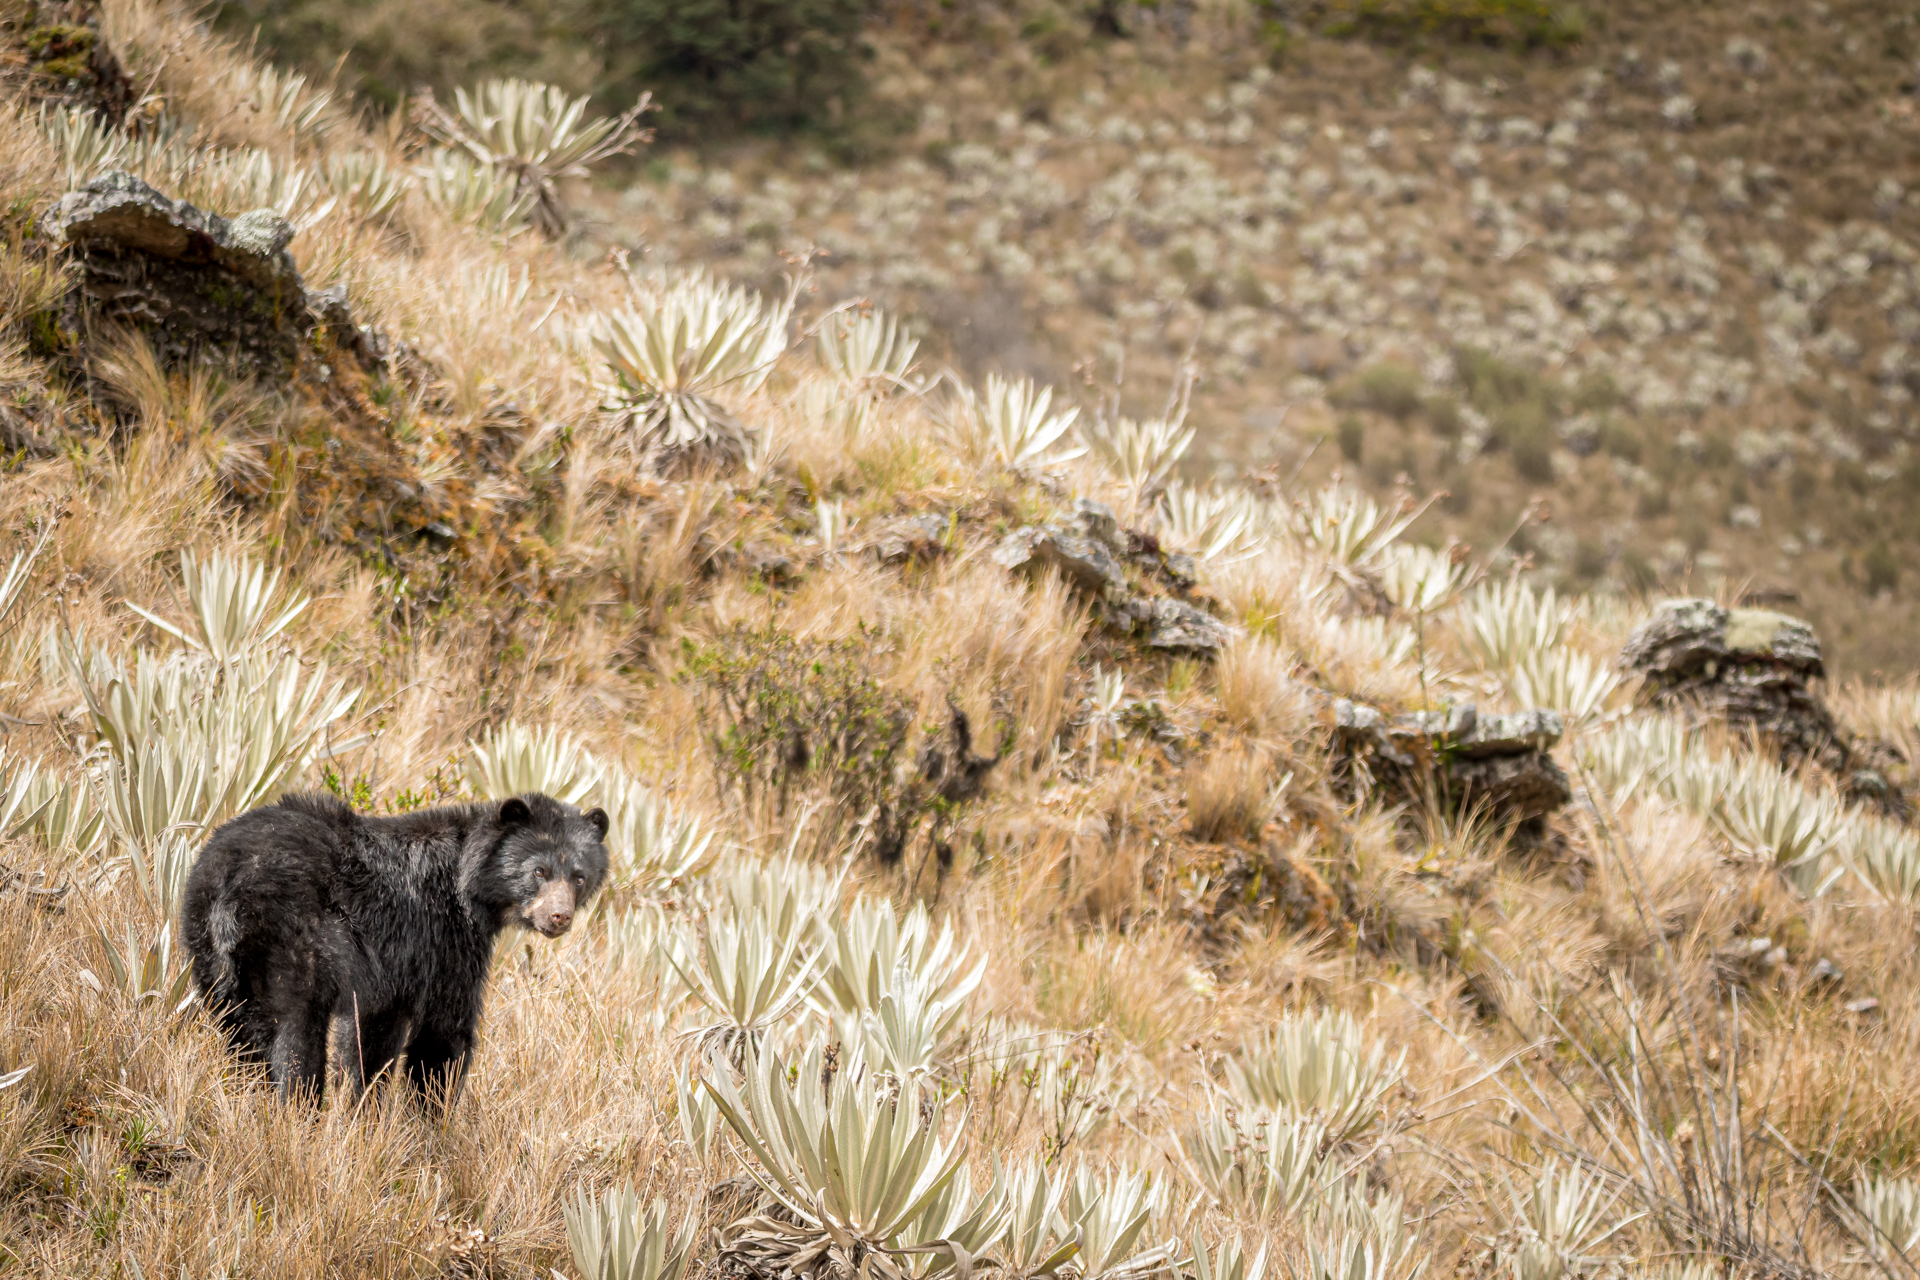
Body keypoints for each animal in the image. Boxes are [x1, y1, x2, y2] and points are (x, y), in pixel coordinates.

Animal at [181, 791, 609, 1107]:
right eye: (538, 871)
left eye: (579, 877)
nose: (560, 917)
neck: (467, 885)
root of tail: (227, 884)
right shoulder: (439, 938)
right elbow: (443, 1029)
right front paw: (430, 1118)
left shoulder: (393, 969)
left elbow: (371, 1036)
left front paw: (361, 1107)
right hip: (292, 939)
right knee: (295, 1030)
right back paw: (297, 1112)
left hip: (209, 953)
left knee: (241, 1033)